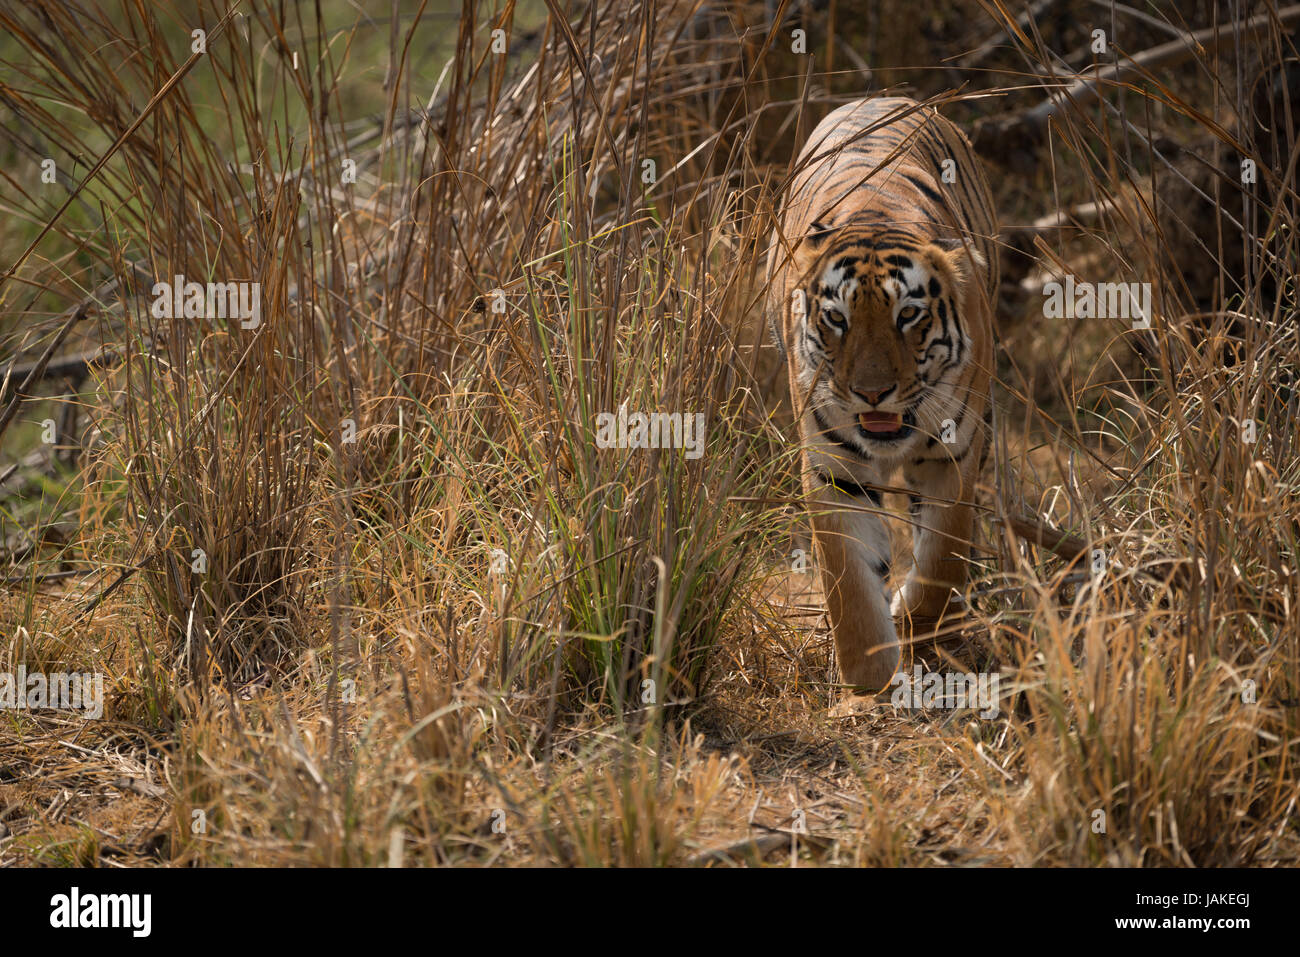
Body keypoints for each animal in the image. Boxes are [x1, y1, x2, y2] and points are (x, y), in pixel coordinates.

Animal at [765, 96, 999, 696]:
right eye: (836, 318)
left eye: (908, 315)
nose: (871, 394)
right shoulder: (833, 470)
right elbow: (848, 583)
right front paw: (869, 674)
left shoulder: (953, 456)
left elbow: (941, 563)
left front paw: (914, 624)